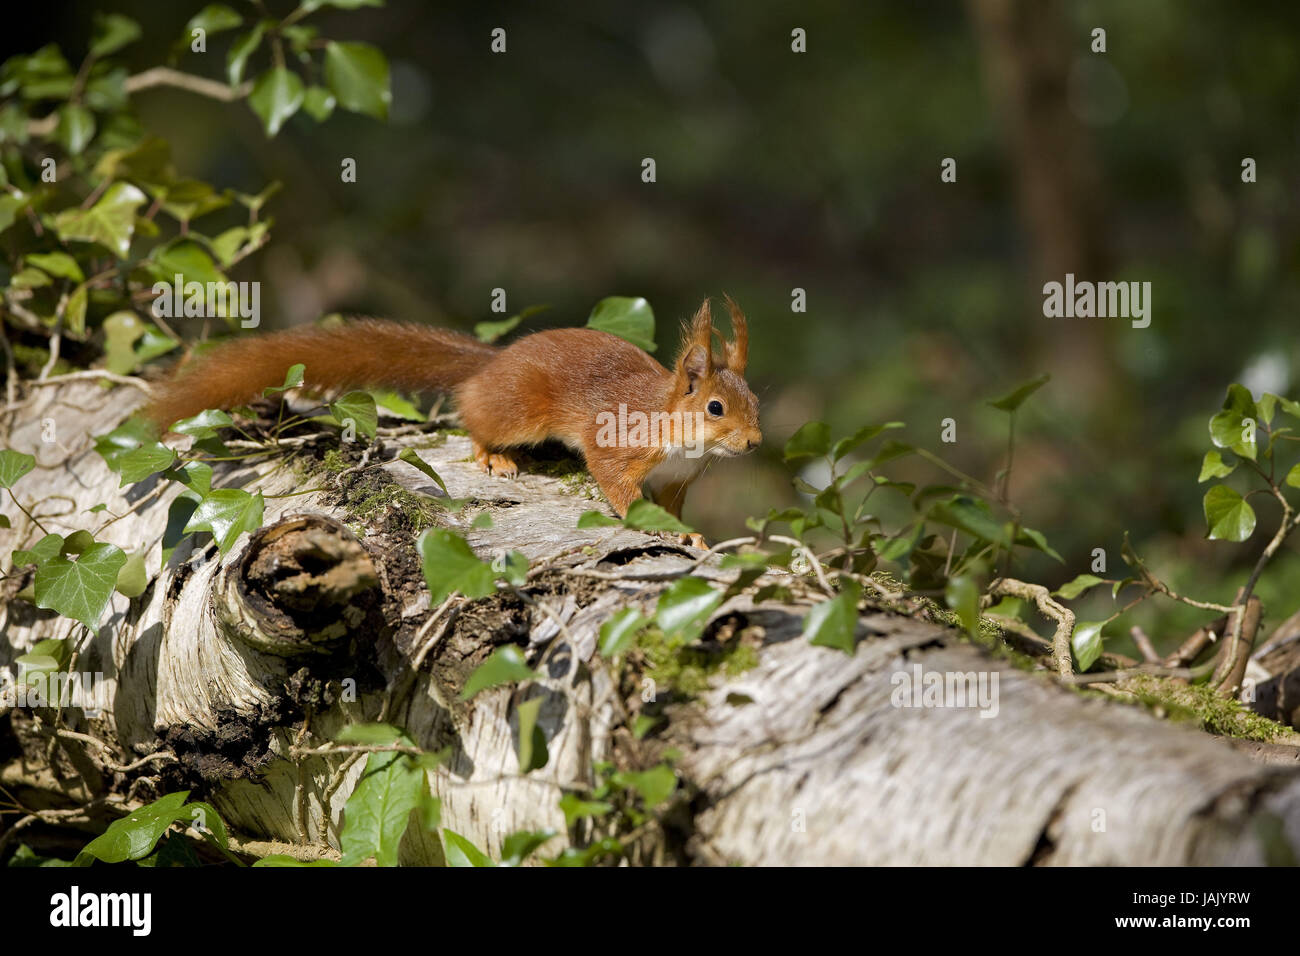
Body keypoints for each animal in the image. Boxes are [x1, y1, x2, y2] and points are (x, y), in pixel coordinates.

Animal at [145, 296, 761, 540]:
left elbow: (674, 507)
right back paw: (492, 455)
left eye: (755, 400)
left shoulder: (679, 480)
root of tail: (493, 365)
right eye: (714, 408)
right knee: (476, 419)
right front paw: (664, 530)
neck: (679, 432)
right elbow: (617, 484)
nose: (755, 443)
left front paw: (697, 536)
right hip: (520, 414)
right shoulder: (620, 443)